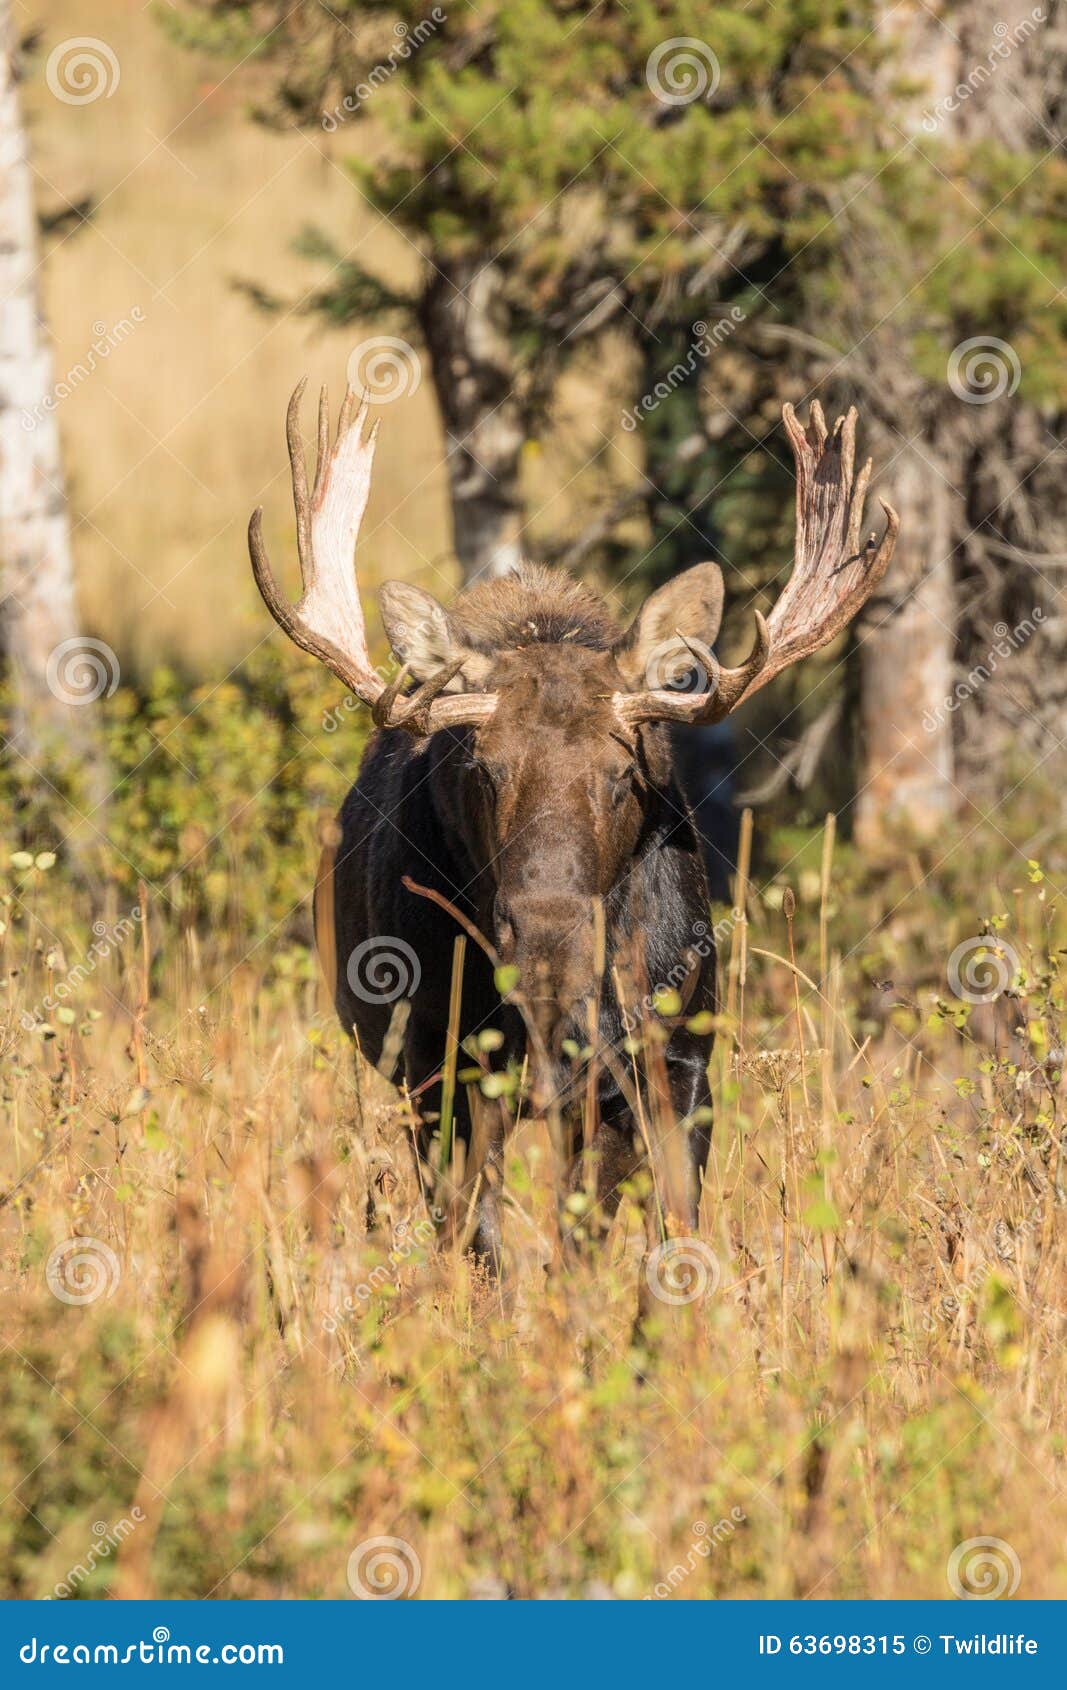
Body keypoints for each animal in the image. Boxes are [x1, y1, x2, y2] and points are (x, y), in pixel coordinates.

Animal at [248, 380, 898, 1274]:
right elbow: (479, 1244)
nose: (548, 933)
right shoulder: (435, 1066)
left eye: (623, 774)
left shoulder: (675, 1062)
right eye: (482, 767)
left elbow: (652, 1236)